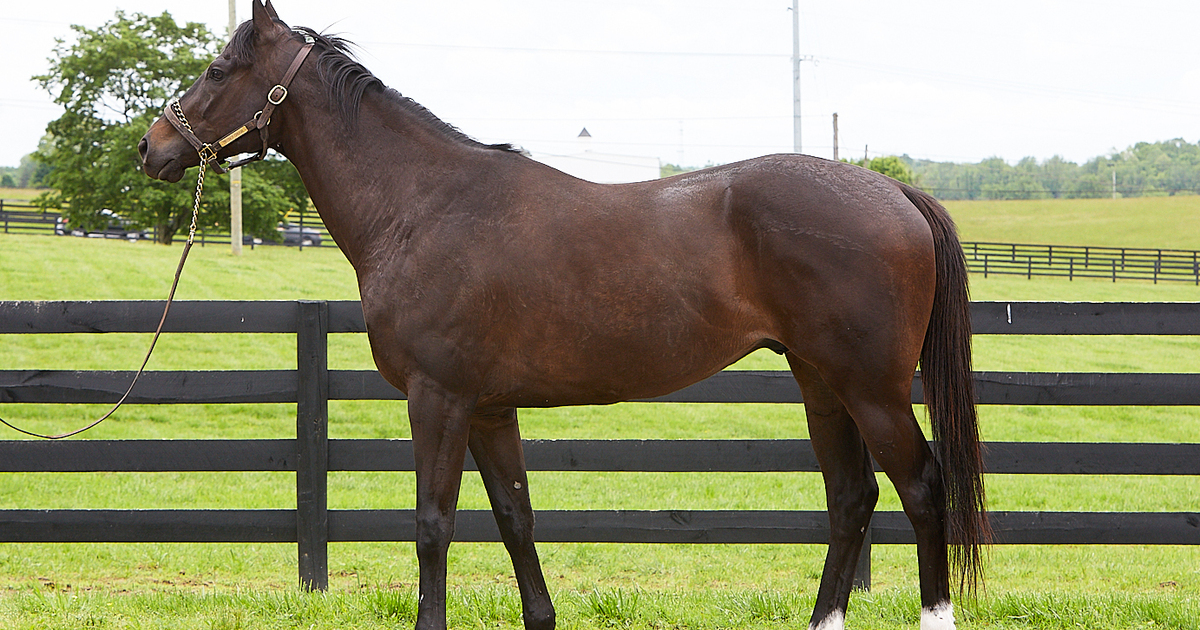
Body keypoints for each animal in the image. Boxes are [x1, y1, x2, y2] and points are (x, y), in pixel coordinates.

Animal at [139, 2, 987, 628]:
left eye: (218, 69)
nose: (153, 147)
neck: (422, 205)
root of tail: (893, 190)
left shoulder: (439, 400)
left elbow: (432, 526)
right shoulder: (489, 410)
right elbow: (516, 519)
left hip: (872, 388)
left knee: (921, 488)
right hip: (819, 381)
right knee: (851, 498)